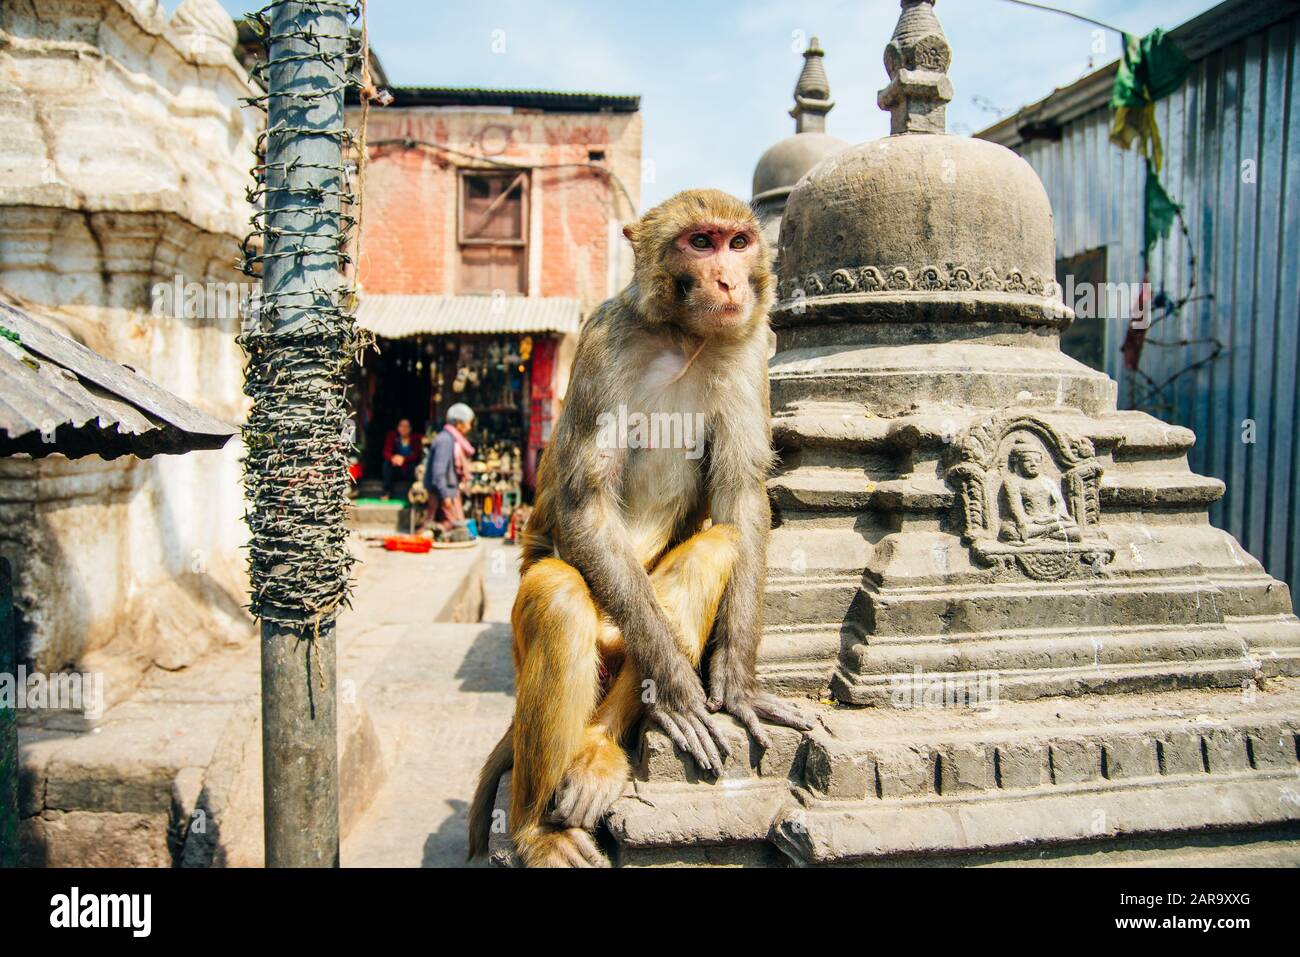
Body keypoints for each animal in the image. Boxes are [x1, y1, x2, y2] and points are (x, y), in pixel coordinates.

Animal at [468, 189, 813, 868]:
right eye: (701, 243)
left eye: (738, 242)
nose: (728, 280)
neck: (685, 337)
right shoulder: (605, 342)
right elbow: (584, 503)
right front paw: (681, 689)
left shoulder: (751, 349)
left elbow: (740, 502)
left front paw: (733, 682)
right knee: (558, 597)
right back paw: (537, 831)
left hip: (624, 639)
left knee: (716, 549)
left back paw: (603, 749)